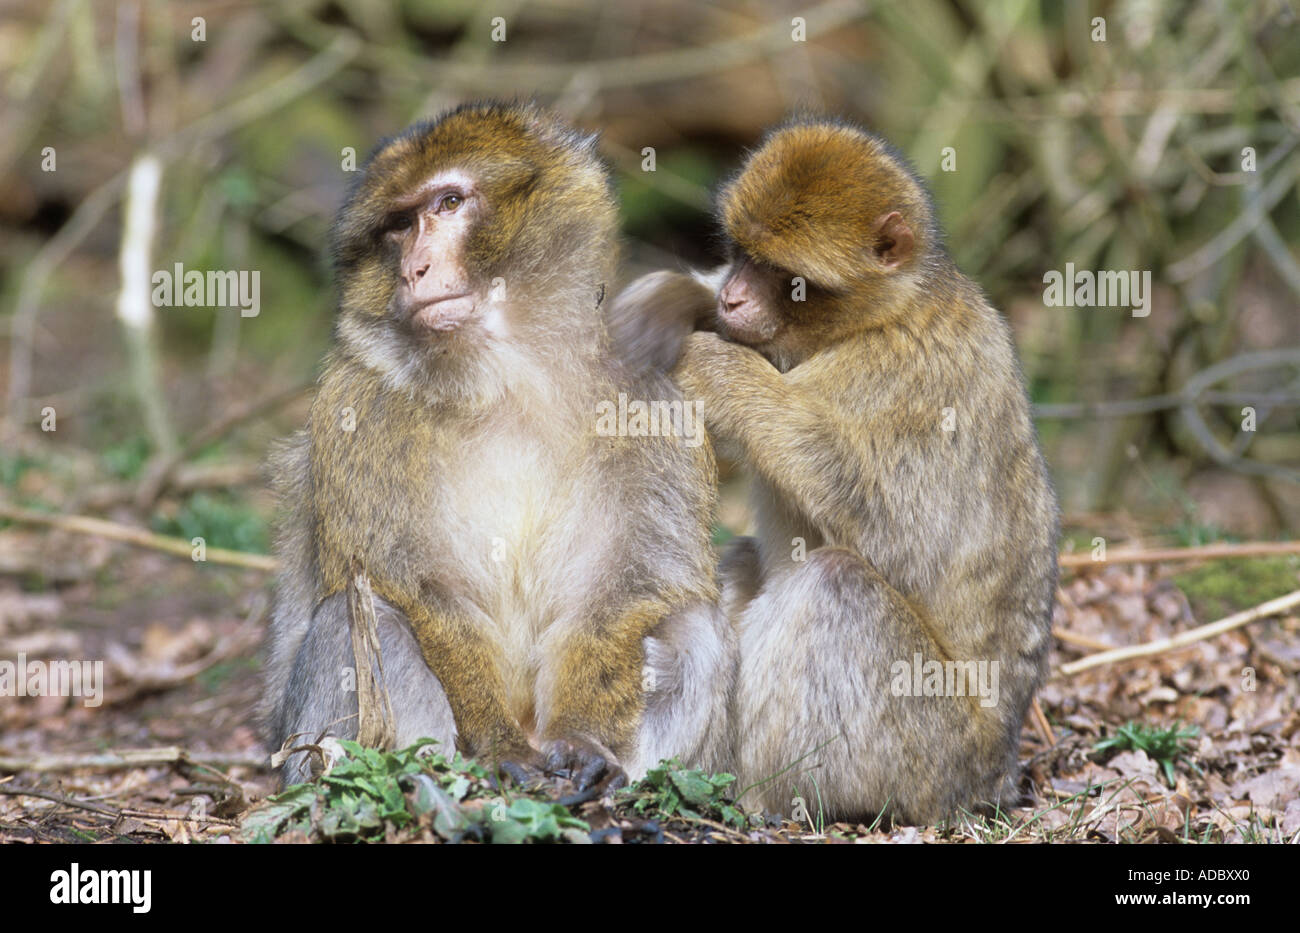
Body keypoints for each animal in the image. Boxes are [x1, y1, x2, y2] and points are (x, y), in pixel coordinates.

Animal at [260, 102, 735, 790]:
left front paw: (582, 739)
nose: (414, 269)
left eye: (450, 203)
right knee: (360, 620)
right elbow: (416, 589)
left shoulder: (649, 391)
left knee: (695, 623)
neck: (502, 377)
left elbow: (631, 584)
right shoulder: (359, 405)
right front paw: (498, 744)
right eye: (398, 227)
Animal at [619, 118, 1059, 825]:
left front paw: (710, 364)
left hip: (924, 755)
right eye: (741, 253)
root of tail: (995, 774)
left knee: (837, 585)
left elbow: (905, 538)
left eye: (783, 275)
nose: (732, 297)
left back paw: (755, 798)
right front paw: (671, 299)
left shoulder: (904, 378)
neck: (879, 317)